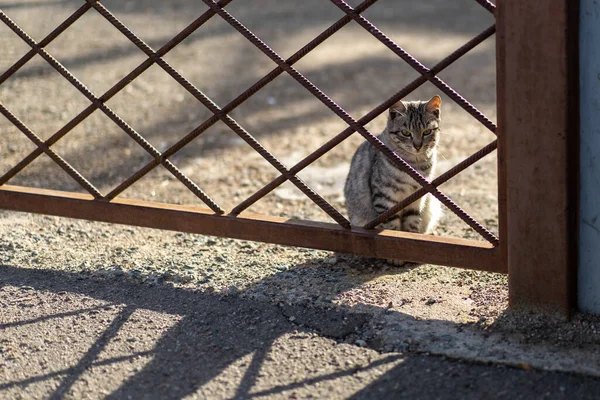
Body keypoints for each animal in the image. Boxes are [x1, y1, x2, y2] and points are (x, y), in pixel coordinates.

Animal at [344, 95, 442, 264]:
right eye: (406, 132)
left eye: (427, 132)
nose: (417, 146)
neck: (415, 164)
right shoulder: (385, 197)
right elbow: (392, 226)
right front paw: (395, 255)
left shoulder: (417, 198)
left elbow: (412, 223)